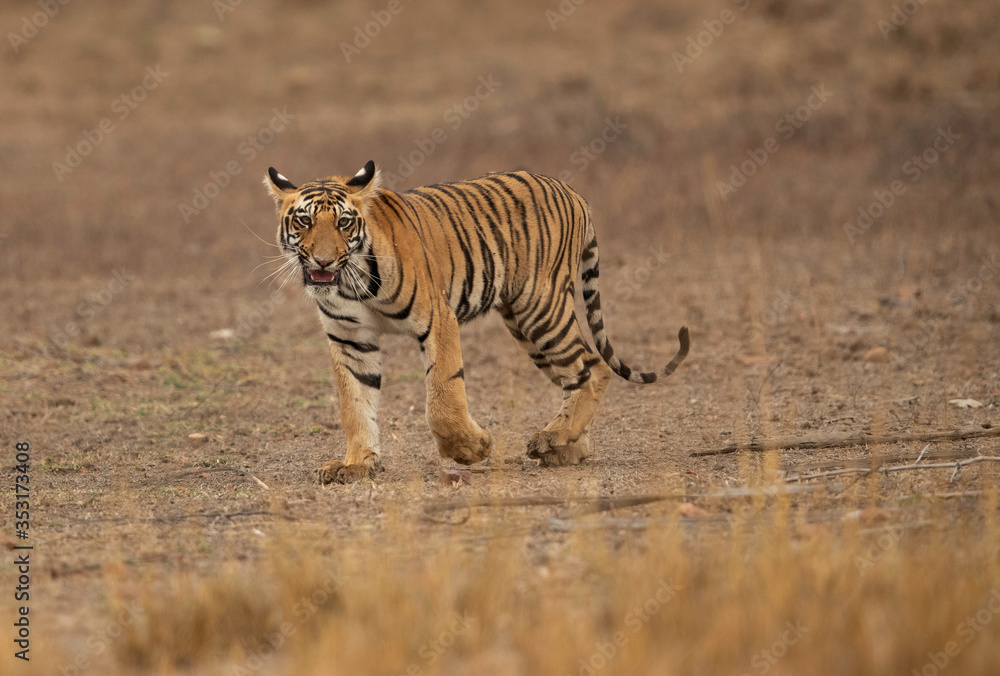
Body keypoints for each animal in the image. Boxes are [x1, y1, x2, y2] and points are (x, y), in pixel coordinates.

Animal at [264, 161, 689, 484]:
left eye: (344, 224)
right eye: (303, 221)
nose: (322, 261)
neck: (350, 282)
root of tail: (572, 191)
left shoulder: (438, 318)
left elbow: (442, 396)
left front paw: (473, 449)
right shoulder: (351, 338)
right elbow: (355, 404)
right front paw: (356, 464)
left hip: (541, 308)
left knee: (593, 368)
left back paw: (553, 437)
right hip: (525, 324)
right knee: (577, 375)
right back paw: (566, 447)